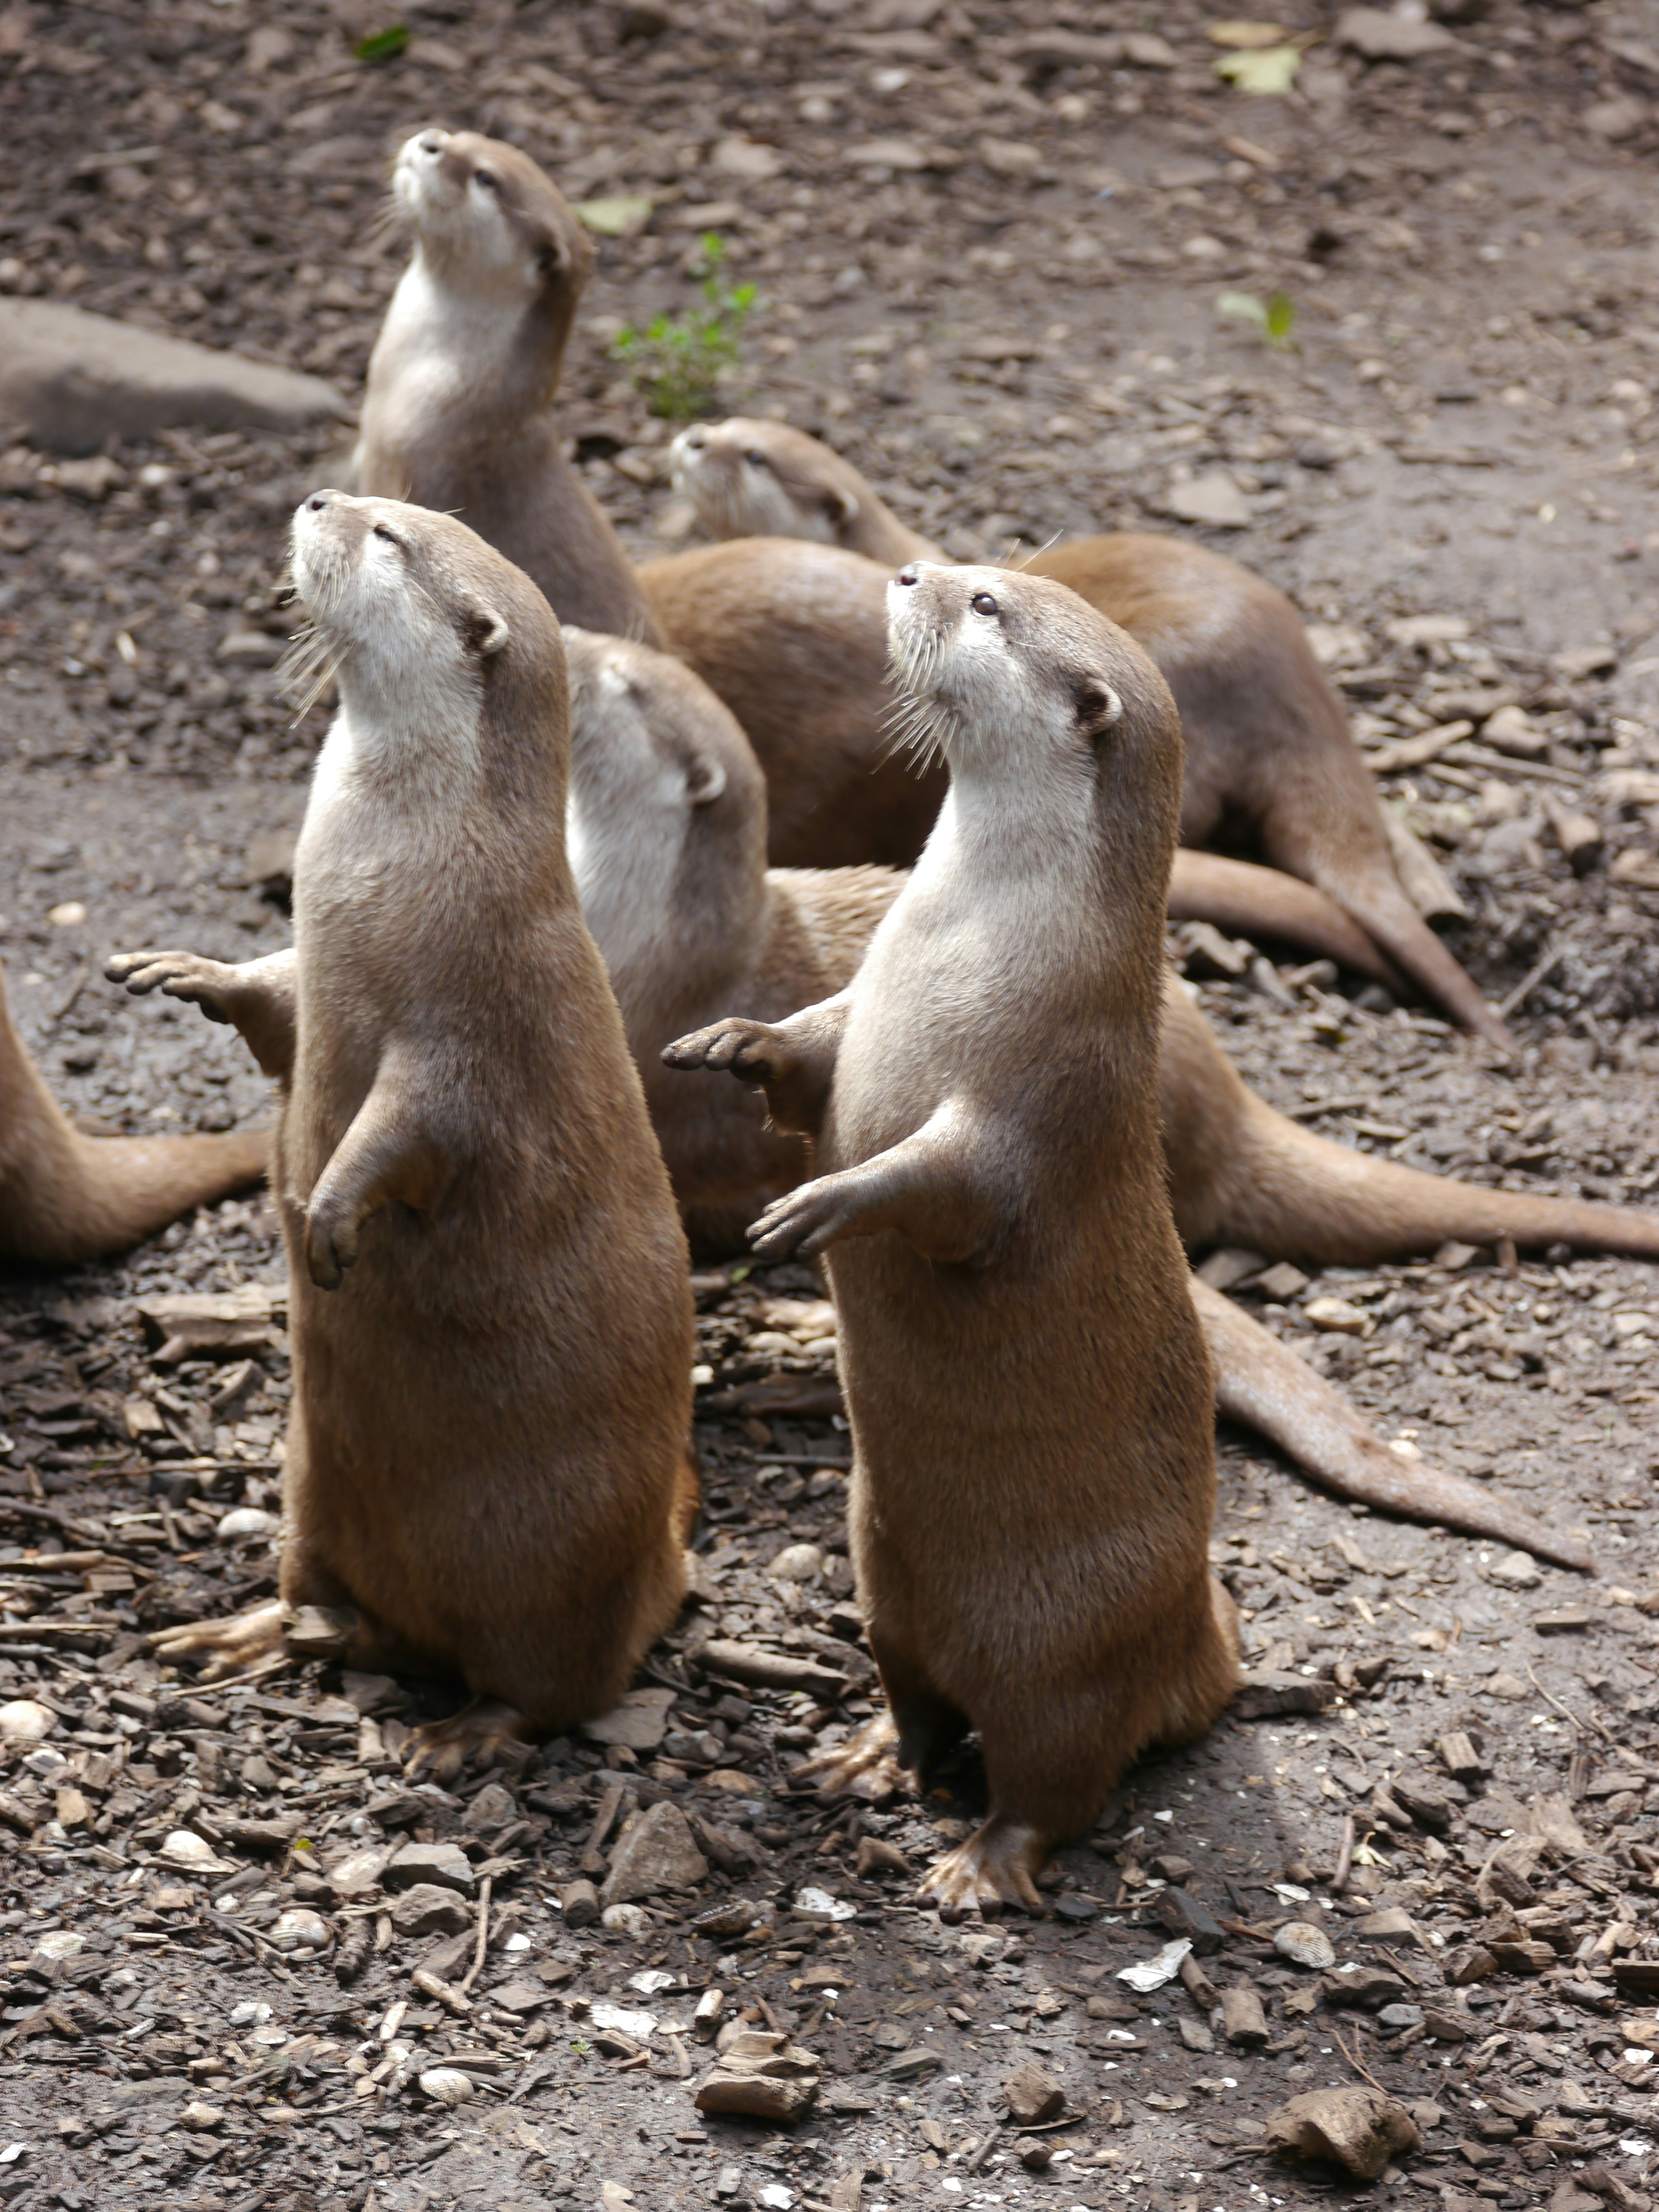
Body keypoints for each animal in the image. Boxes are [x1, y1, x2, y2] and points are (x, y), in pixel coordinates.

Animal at [108, 493, 694, 1768]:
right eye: (423, 513)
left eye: (391, 539)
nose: (323, 501)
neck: (400, 863)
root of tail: (663, 1561)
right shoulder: (316, 974)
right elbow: (274, 999)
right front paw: (191, 972)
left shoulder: (472, 1023)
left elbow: (414, 1131)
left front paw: (328, 1219)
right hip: (308, 1487)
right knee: (340, 1607)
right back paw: (243, 1635)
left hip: (558, 1558)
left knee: (549, 1685)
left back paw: (458, 1735)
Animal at [667, 564, 1239, 1916]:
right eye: (1005, 572)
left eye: (988, 605)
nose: (912, 572)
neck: (961, 946)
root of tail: (1194, 1641)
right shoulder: (863, 1011)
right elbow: (810, 1058)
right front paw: (737, 1041)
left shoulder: (1046, 1088)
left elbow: (952, 1187)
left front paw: (825, 1206)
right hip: (880, 1575)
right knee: (923, 1701)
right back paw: (865, 1757)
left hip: (1070, 1651)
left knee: (1055, 1774)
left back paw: (979, 1867)